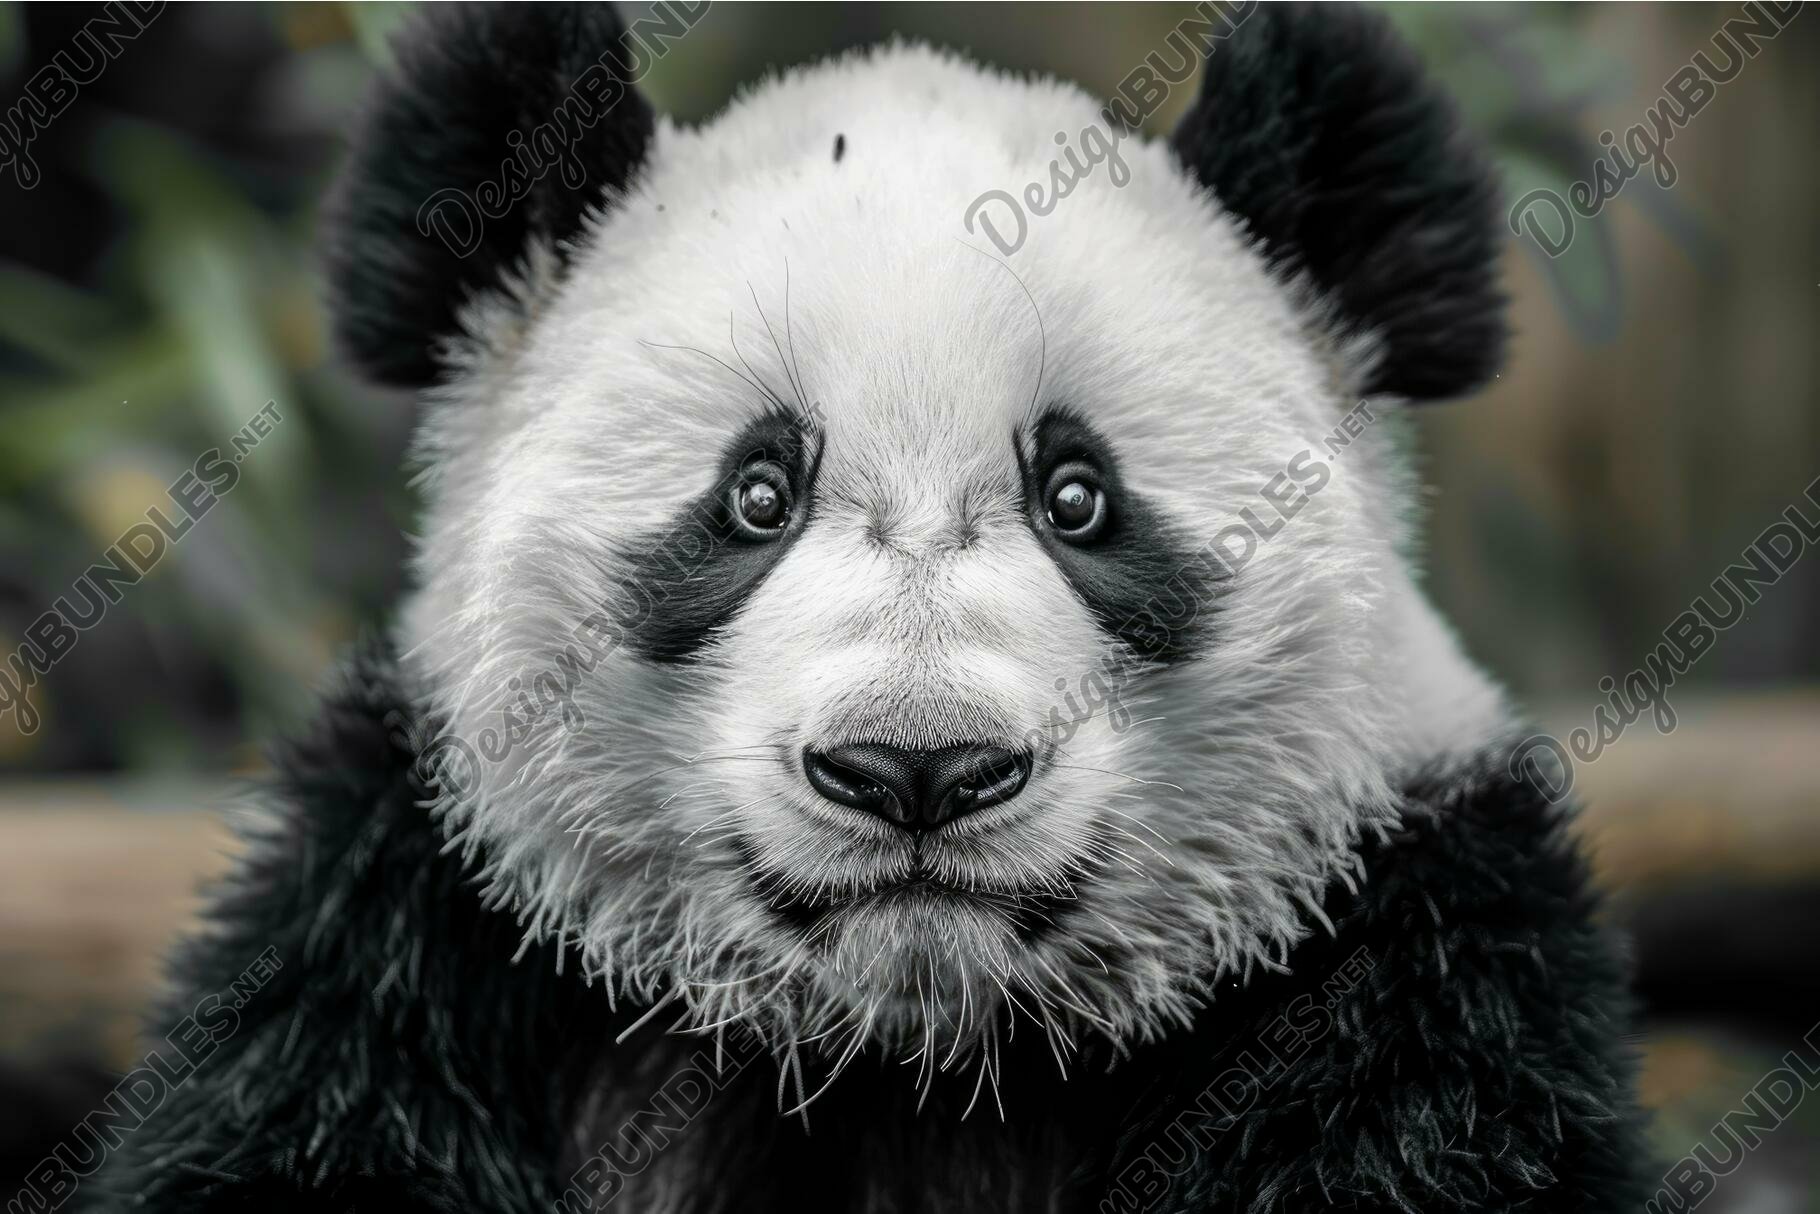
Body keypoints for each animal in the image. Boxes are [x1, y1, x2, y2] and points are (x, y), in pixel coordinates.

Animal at [94, 4, 1650, 1211]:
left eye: (1078, 497)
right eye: (756, 495)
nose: (917, 769)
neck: (902, 1051)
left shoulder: (1415, 961)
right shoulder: (401, 933)